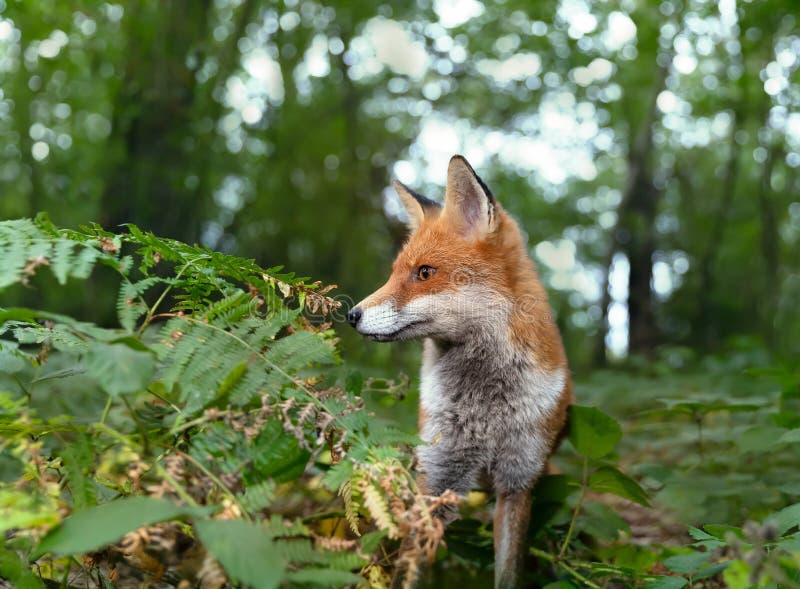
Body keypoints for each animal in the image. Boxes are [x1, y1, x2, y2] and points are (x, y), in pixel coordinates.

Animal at [347, 155, 573, 589]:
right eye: (393, 272)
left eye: (424, 273)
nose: (351, 315)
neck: (484, 407)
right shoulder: (437, 477)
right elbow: (409, 569)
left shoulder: (517, 483)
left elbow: (509, 573)